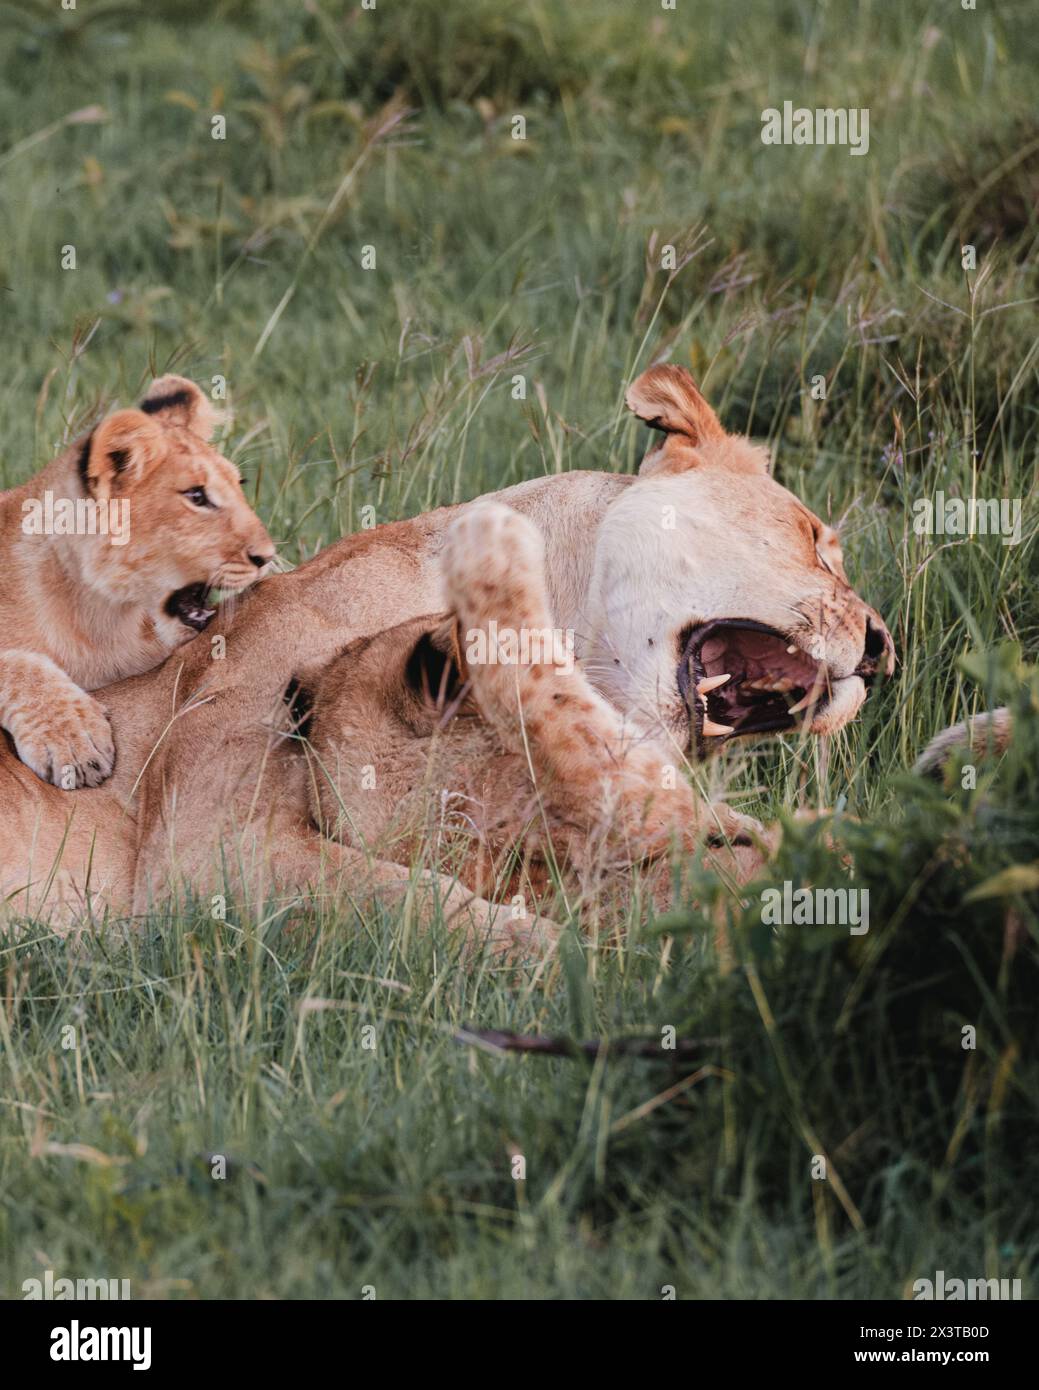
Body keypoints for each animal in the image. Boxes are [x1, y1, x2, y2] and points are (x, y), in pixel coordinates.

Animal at [0, 376, 275, 789]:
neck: (104, 622)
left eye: (239, 483)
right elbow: (17, 662)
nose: (267, 556)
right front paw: (73, 741)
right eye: (196, 496)